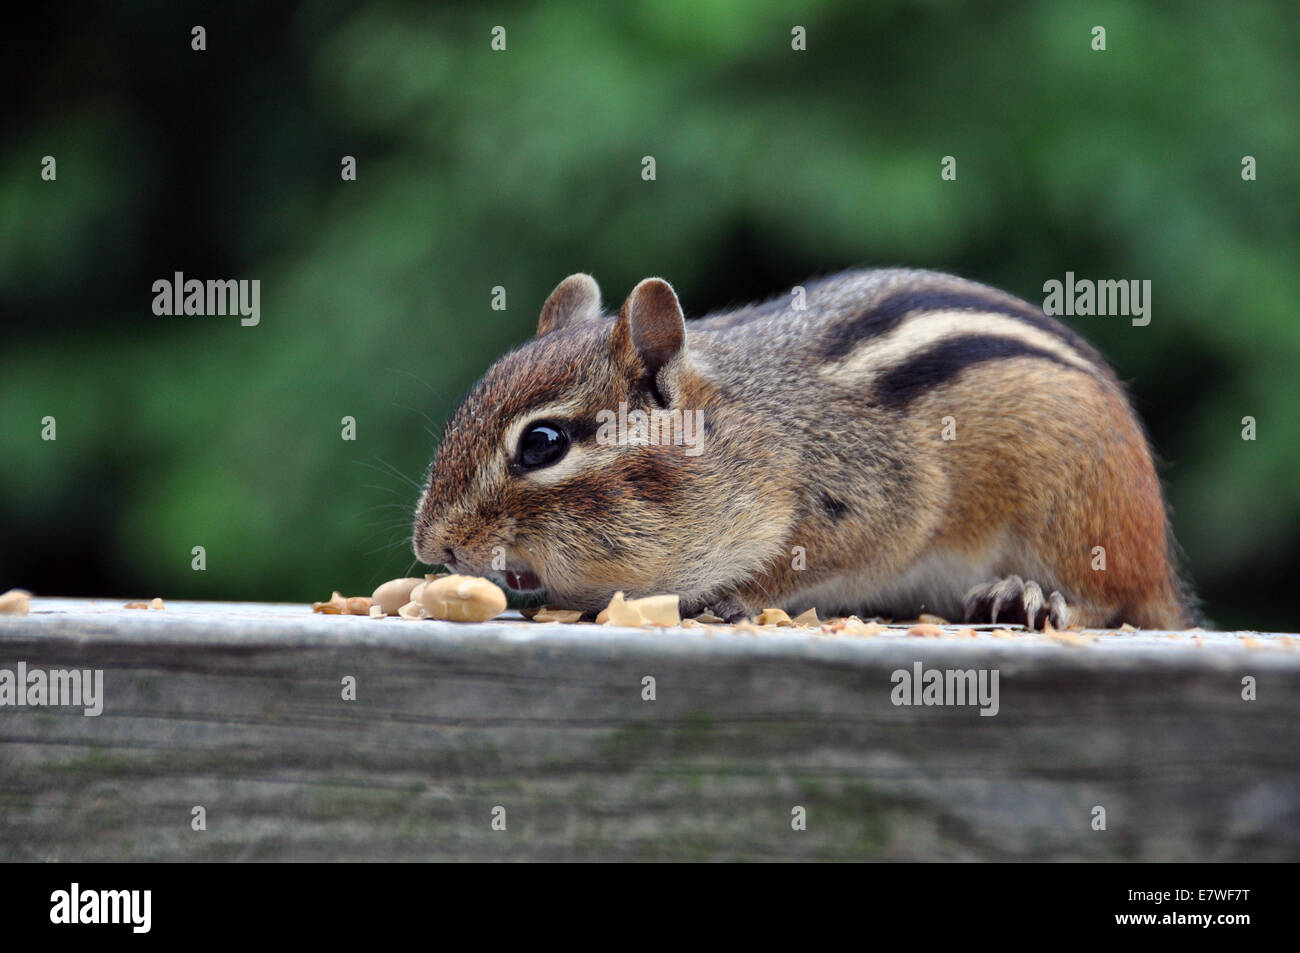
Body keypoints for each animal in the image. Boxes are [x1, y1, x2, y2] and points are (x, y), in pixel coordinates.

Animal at [413, 269, 1194, 629]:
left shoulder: (880, 498)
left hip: (1081, 517)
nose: (431, 546)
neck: (762, 432)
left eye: (542, 444)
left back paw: (1030, 596)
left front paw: (735, 597)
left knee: (1110, 601)